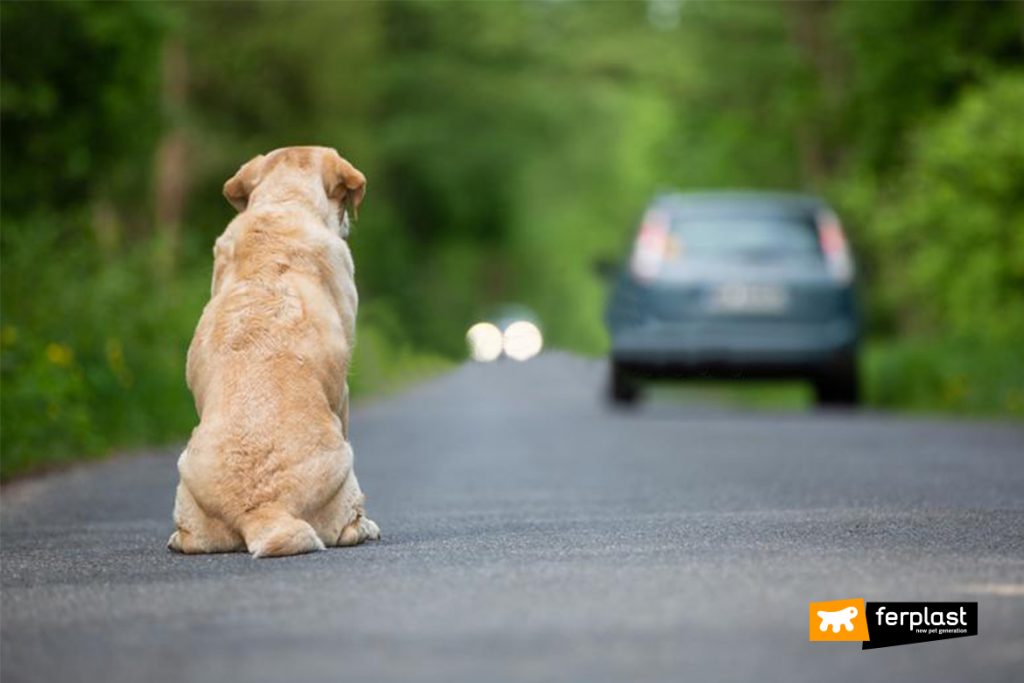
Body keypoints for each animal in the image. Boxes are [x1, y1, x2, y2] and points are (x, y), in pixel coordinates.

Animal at [169, 147, 382, 557]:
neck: (284, 203)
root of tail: (263, 509)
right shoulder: (343, 392)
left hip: (185, 471)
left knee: (189, 538)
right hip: (345, 464)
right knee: (348, 525)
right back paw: (365, 527)